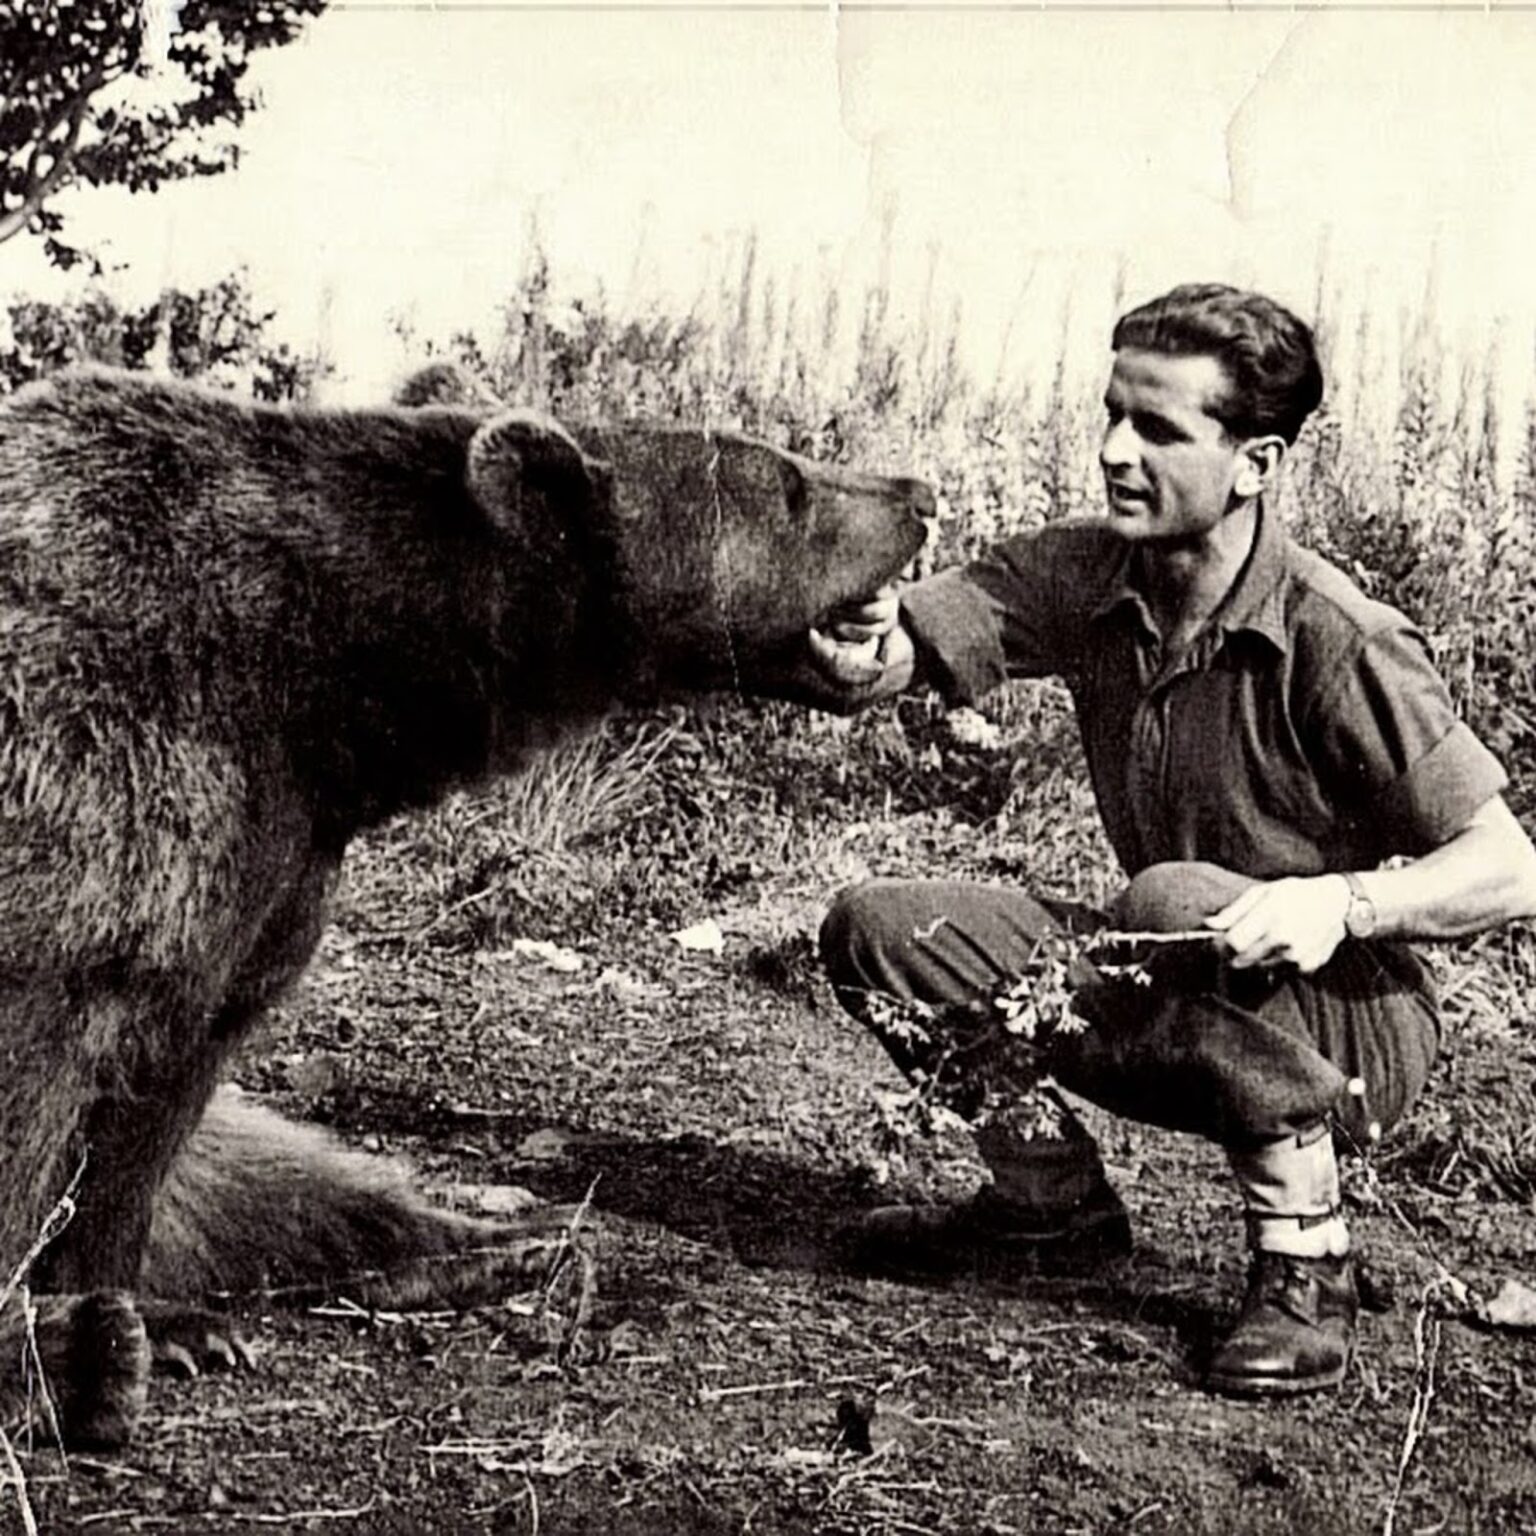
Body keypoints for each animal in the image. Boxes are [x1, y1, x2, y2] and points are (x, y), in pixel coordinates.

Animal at [0, 366, 931, 1449]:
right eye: (788, 483)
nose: (918, 491)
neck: (323, 683)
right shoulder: (99, 770)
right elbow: (42, 1089)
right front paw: (63, 1349)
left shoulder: (261, 874)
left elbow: (156, 1111)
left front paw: (159, 1318)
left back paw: (510, 1240)